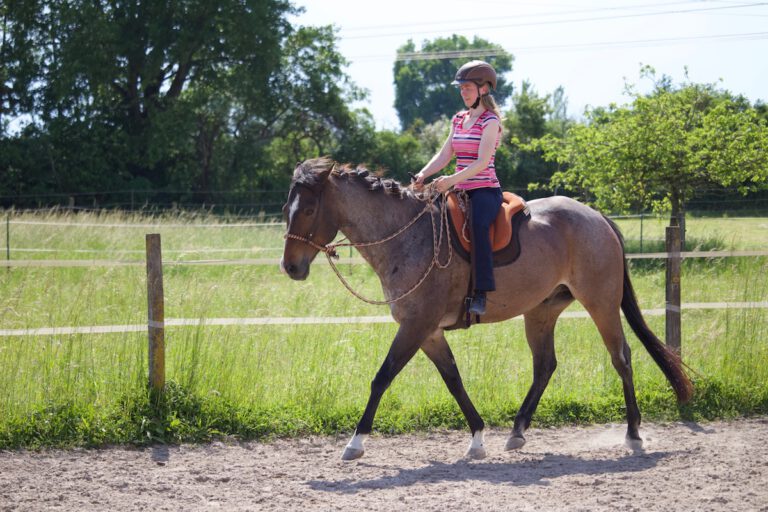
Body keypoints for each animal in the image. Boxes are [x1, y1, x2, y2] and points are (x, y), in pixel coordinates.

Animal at [280, 157, 693, 461]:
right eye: (287, 207)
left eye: (310, 208)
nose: (290, 267)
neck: (408, 237)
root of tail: (596, 216)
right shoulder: (428, 332)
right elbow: (453, 380)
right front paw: (477, 437)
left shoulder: (415, 325)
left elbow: (382, 377)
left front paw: (355, 442)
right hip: (541, 312)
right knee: (545, 365)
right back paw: (517, 432)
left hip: (601, 303)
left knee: (621, 358)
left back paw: (634, 435)